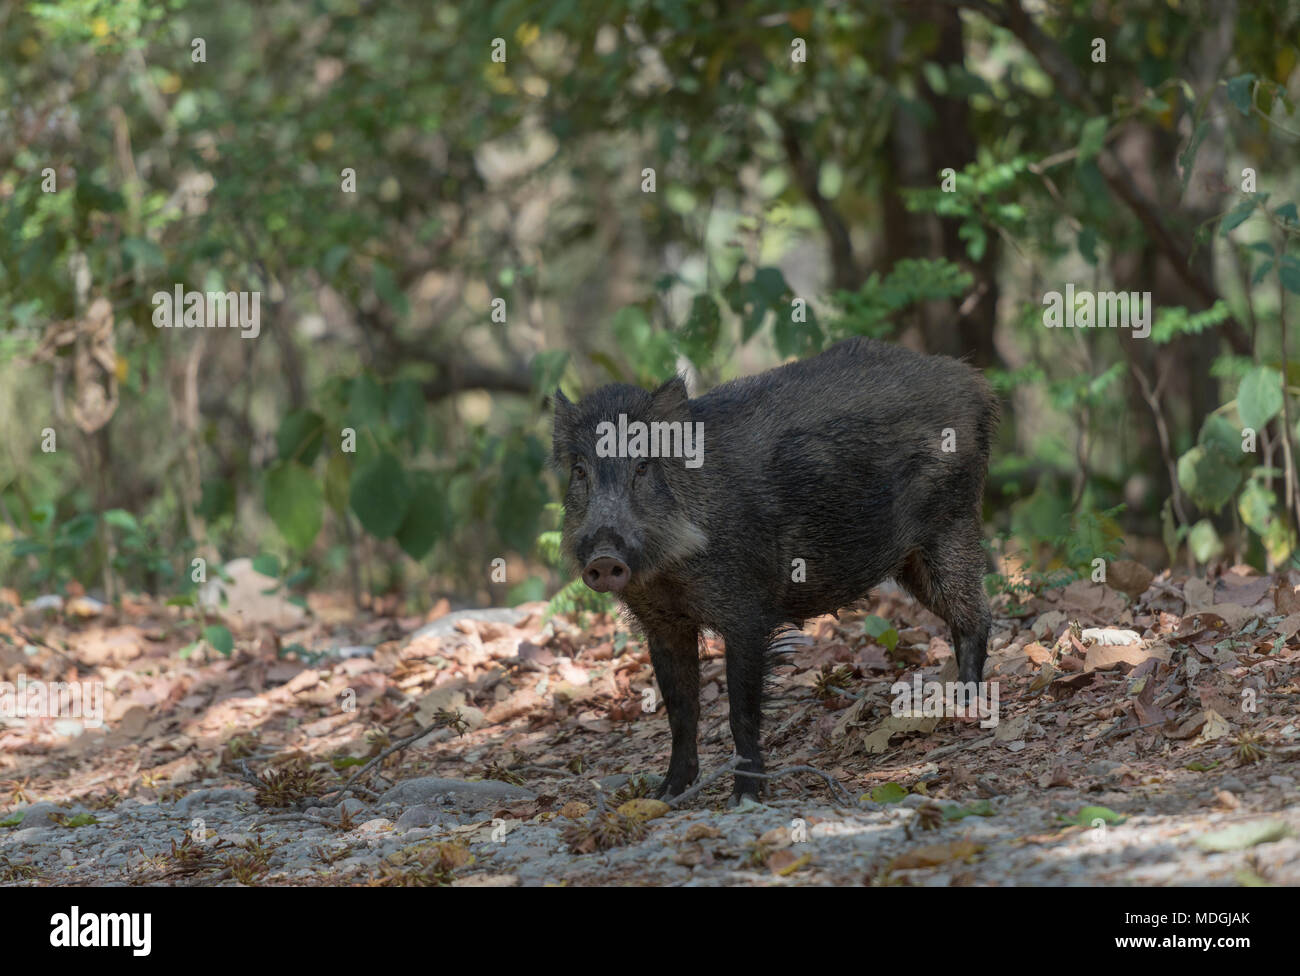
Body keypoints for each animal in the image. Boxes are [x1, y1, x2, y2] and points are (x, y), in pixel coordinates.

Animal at [551, 337, 999, 801]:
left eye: (642, 466)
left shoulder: (747, 612)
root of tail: (975, 382)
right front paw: (666, 795)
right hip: (913, 560)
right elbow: (681, 710)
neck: (670, 573)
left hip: (951, 523)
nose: (604, 558)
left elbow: (740, 711)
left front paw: (745, 796)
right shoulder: (661, 623)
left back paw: (966, 704)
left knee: (976, 617)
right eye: (580, 471)